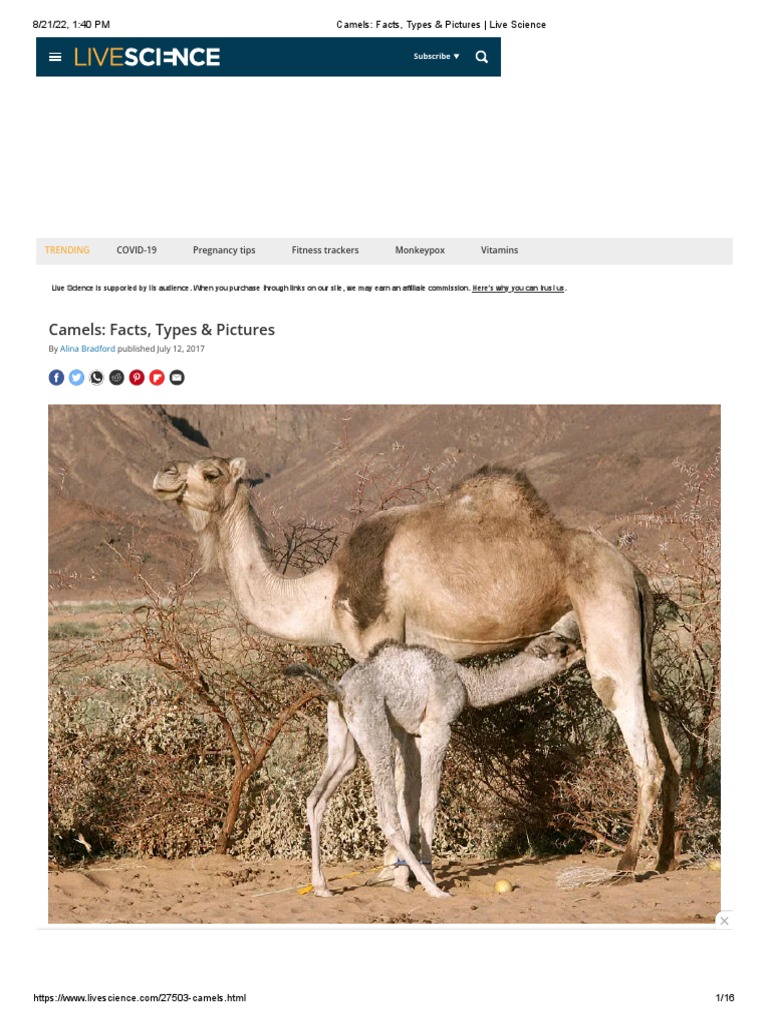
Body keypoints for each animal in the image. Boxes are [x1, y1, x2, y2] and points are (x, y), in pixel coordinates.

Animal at [288, 632, 584, 898]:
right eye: (562, 649)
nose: (582, 649)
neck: (467, 683)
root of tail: (340, 690)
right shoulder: (436, 728)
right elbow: (428, 804)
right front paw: (425, 875)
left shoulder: (409, 734)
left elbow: (410, 803)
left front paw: (402, 881)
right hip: (372, 726)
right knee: (386, 814)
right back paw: (434, 889)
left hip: (341, 734)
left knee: (317, 797)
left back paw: (321, 886)